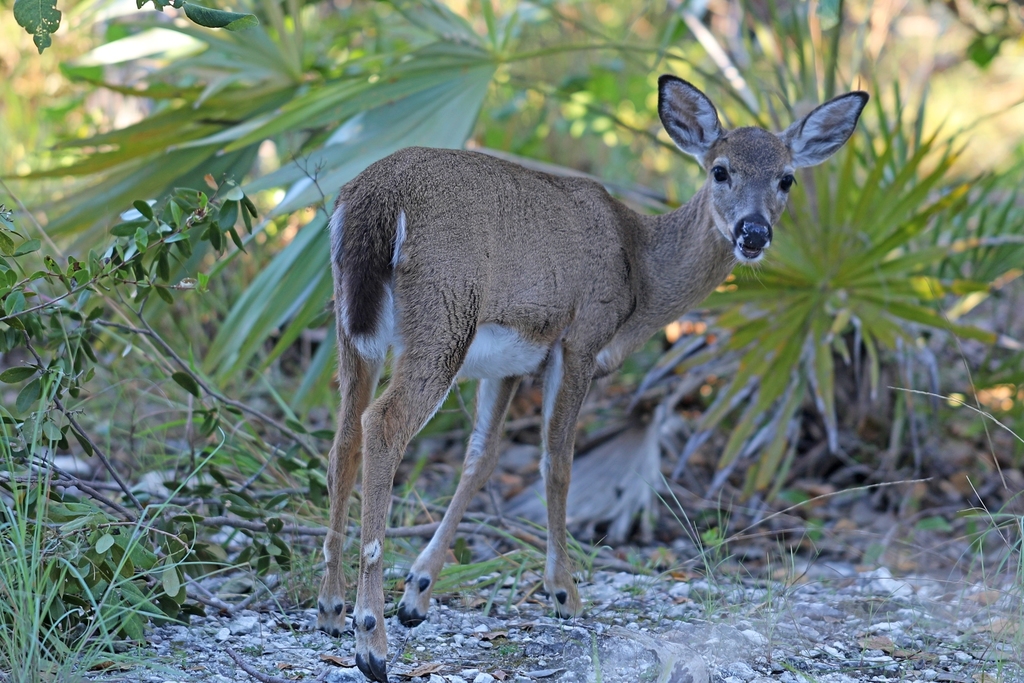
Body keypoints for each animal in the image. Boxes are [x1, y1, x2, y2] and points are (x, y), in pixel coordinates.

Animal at [316, 75, 868, 682]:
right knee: (382, 424)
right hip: (444, 314)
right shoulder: (581, 336)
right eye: (720, 170)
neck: (641, 274)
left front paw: (417, 593)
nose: (754, 231)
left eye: (786, 178)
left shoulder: (511, 361)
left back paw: (331, 608)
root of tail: (372, 199)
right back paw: (371, 641)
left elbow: (480, 459)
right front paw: (565, 594)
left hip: (354, 327)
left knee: (343, 438)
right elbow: (557, 463)